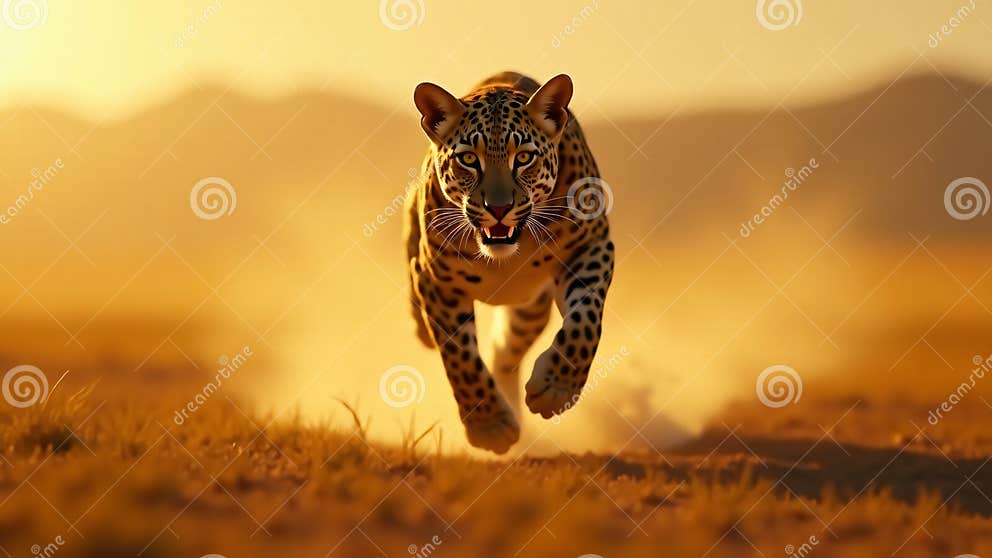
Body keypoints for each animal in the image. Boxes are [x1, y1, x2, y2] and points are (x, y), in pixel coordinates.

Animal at [403, 71, 614, 454]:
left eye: (525, 157)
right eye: (469, 159)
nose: (499, 207)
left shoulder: (593, 246)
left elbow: (585, 323)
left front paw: (556, 388)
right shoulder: (437, 283)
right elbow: (460, 358)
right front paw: (491, 428)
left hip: (529, 312)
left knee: (505, 351)